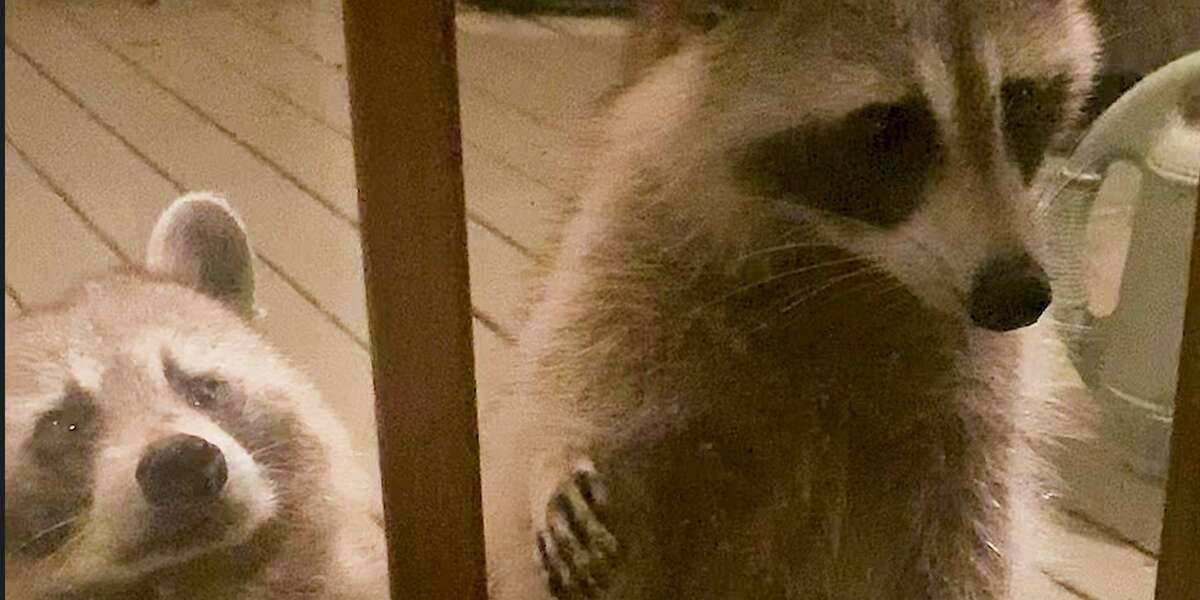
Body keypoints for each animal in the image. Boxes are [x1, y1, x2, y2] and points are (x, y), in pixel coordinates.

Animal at [482, 1, 1100, 599]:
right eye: (888, 124)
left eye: (1020, 98)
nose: (1016, 296)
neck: (835, 252)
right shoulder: (635, 233)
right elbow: (563, 369)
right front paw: (554, 454)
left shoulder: (977, 386)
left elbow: (974, 534)